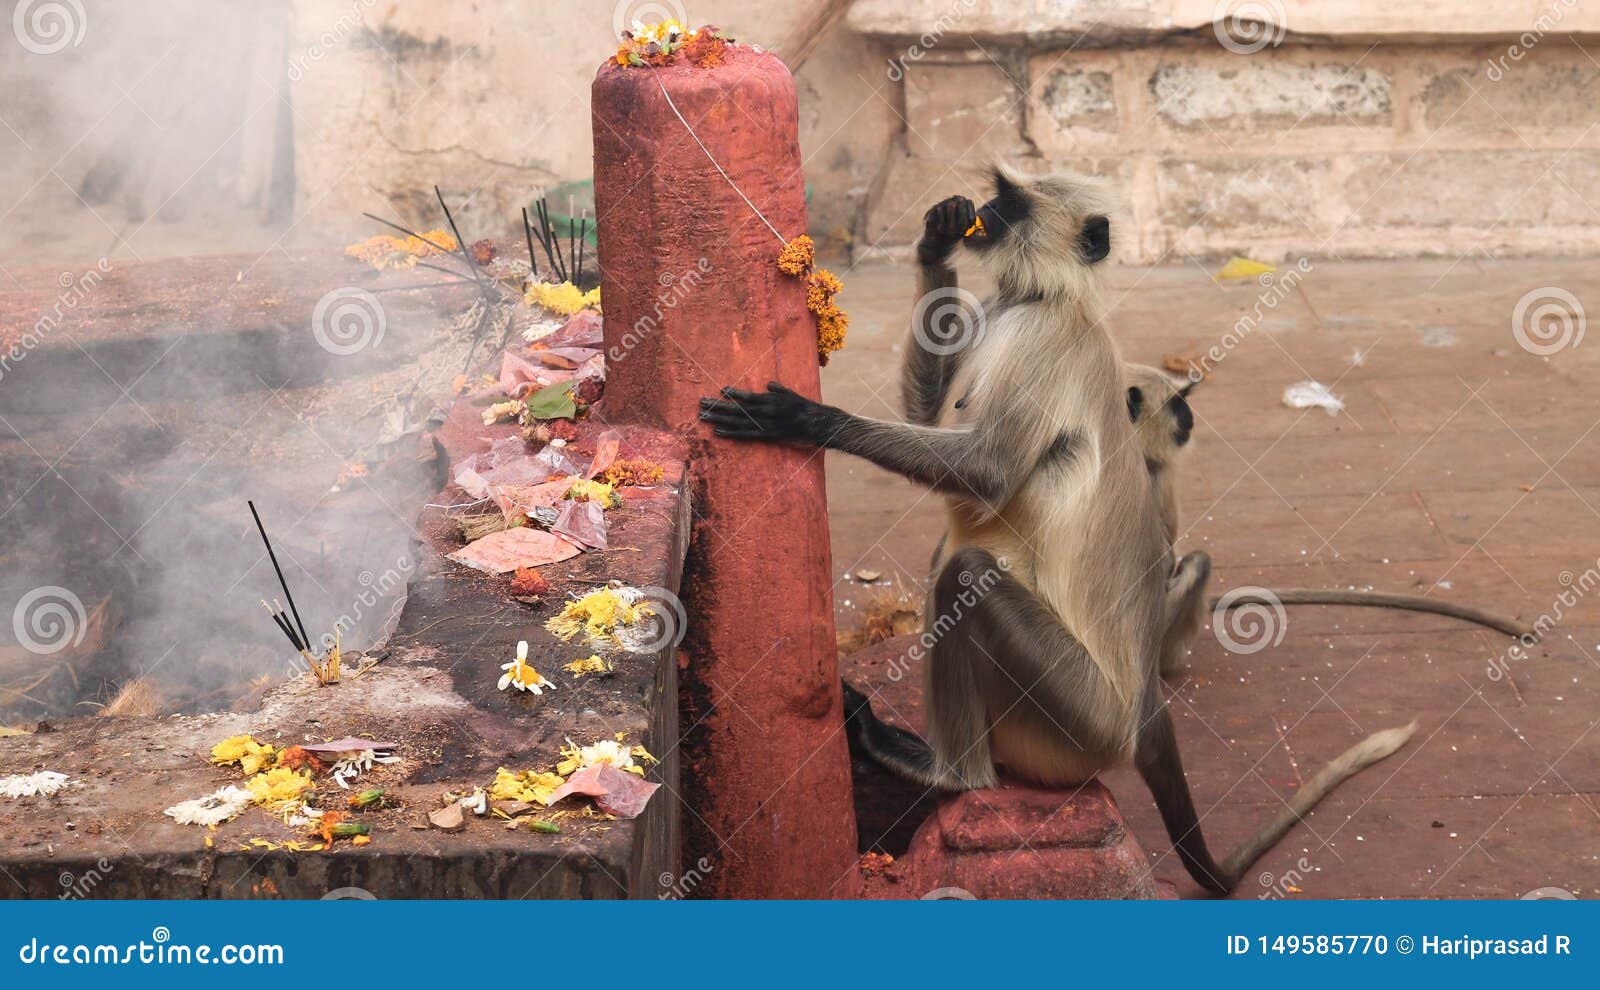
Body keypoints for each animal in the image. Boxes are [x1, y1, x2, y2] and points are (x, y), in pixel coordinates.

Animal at [699, 164, 1416, 895]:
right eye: (992, 198)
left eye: (1012, 204)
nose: (982, 212)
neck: (1041, 300)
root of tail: (1140, 711)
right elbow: (928, 416)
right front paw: (936, 238)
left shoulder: (1045, 344)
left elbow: (987, 472)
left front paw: (809, 419)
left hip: (1074, 719)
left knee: (968, 576)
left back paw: (948, 772)